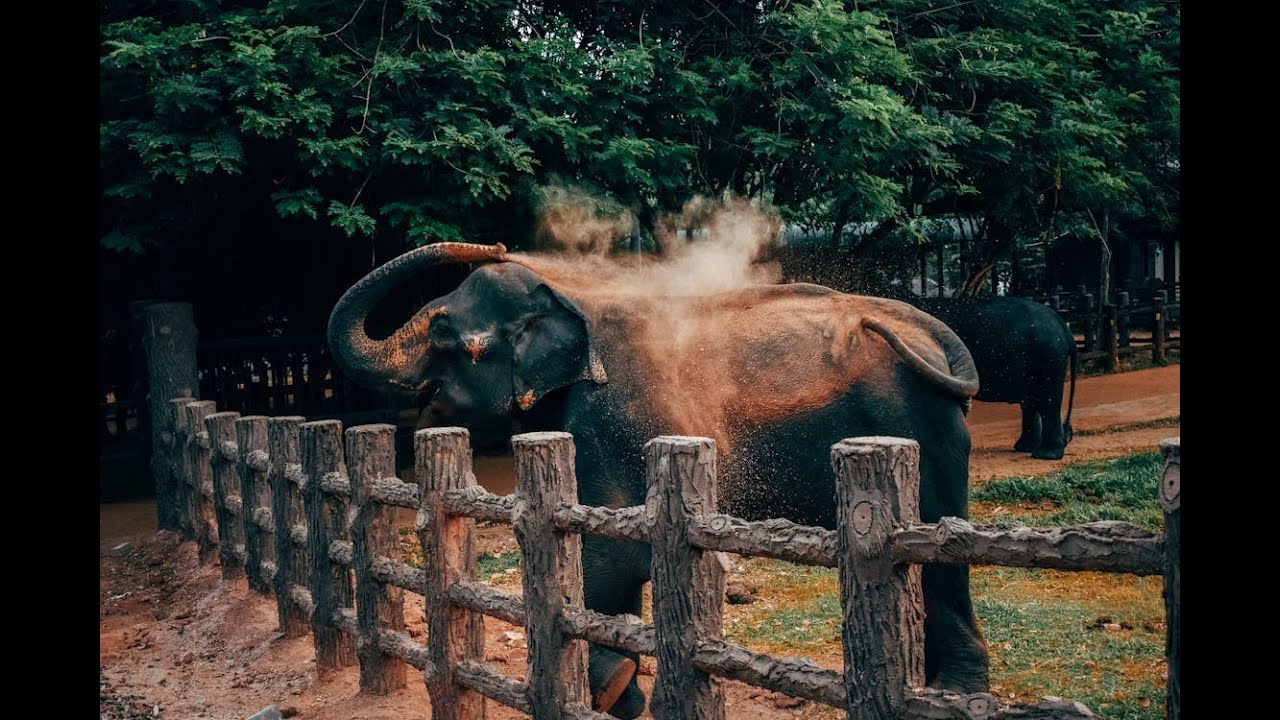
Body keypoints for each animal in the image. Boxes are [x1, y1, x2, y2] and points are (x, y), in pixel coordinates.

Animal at [328, 242, 990, 716]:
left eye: (443, 335)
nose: (491, 241)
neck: (569, 298)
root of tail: (935, 331)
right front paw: (621, 694)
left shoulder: (616, 414)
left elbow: (616, 555)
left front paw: (609, 689)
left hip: (918, 425)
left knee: (938, 554)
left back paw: (955, 695)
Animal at [907, 296, 1077, 460]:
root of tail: (1064, 328)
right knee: (1031, 401)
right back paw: (1025, 448)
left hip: (1048, 356)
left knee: (1048, 401)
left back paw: (1045, 455)